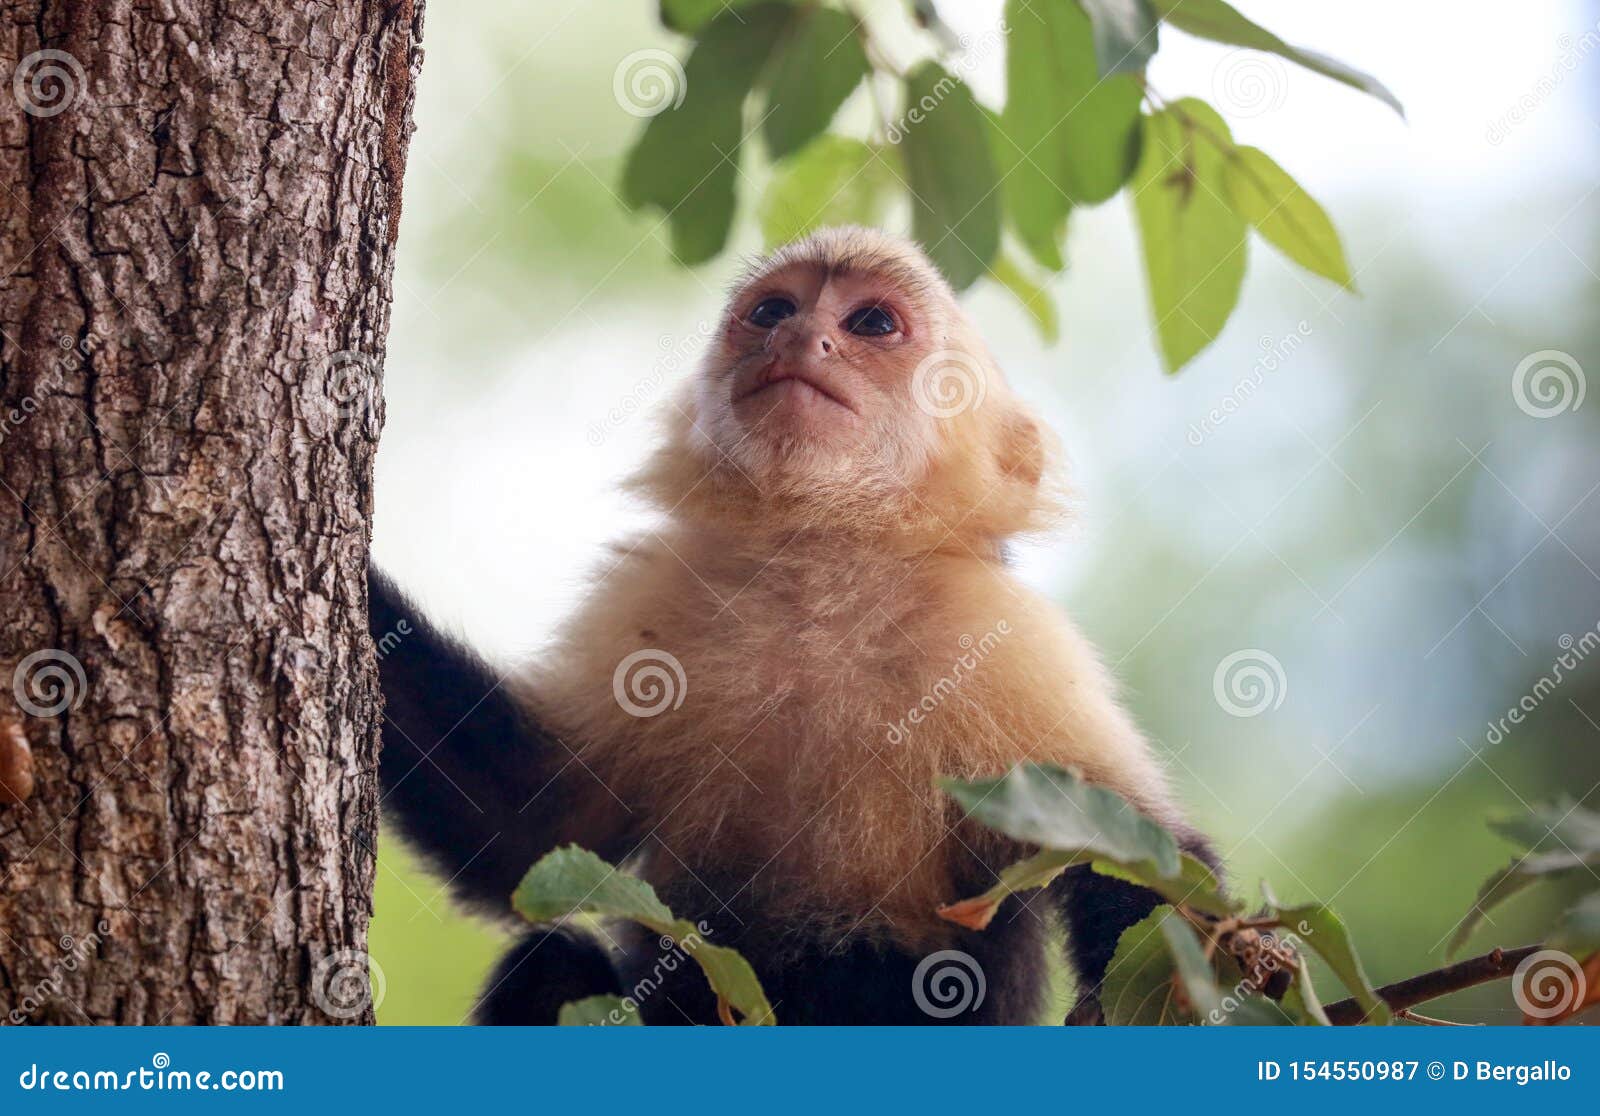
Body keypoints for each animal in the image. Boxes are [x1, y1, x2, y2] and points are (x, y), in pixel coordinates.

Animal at [370, 226, 1218, 1025]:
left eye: (871, 322)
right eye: (774, 310)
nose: (798, 337)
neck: (823, 575)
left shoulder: (1005, 636)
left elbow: (1134, 858)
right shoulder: (655, 594)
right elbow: (533, 828)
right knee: (547, 962)